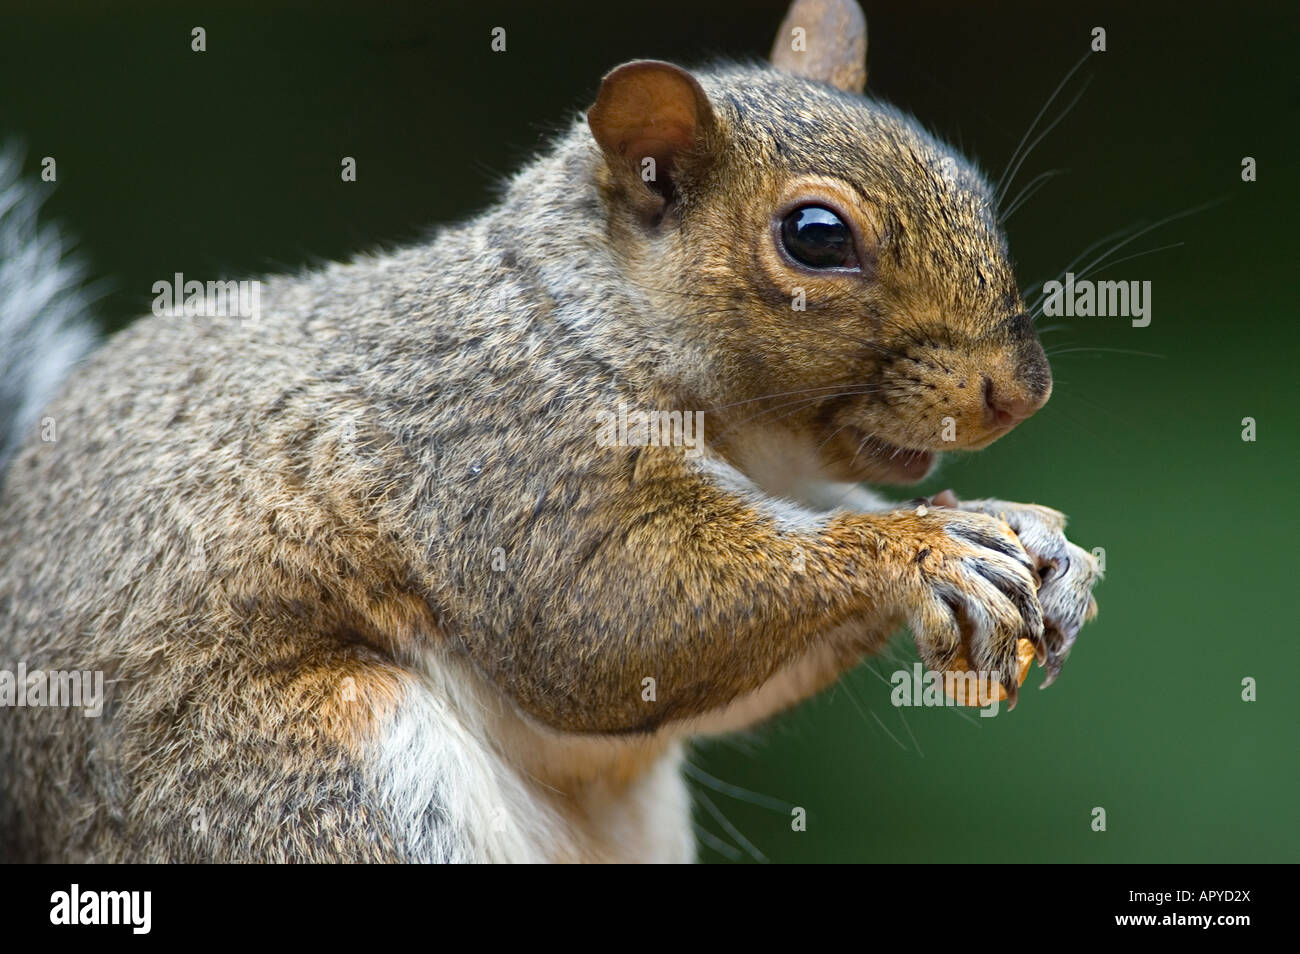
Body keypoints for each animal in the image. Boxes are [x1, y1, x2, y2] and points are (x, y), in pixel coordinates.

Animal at [0, 0, 1100, 863]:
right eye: (815, 237)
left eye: (967, 181)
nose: (1023, 393)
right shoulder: (504, 455)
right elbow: (606, 615)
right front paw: (922, 546)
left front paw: (1034, 542)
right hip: (320, 777)